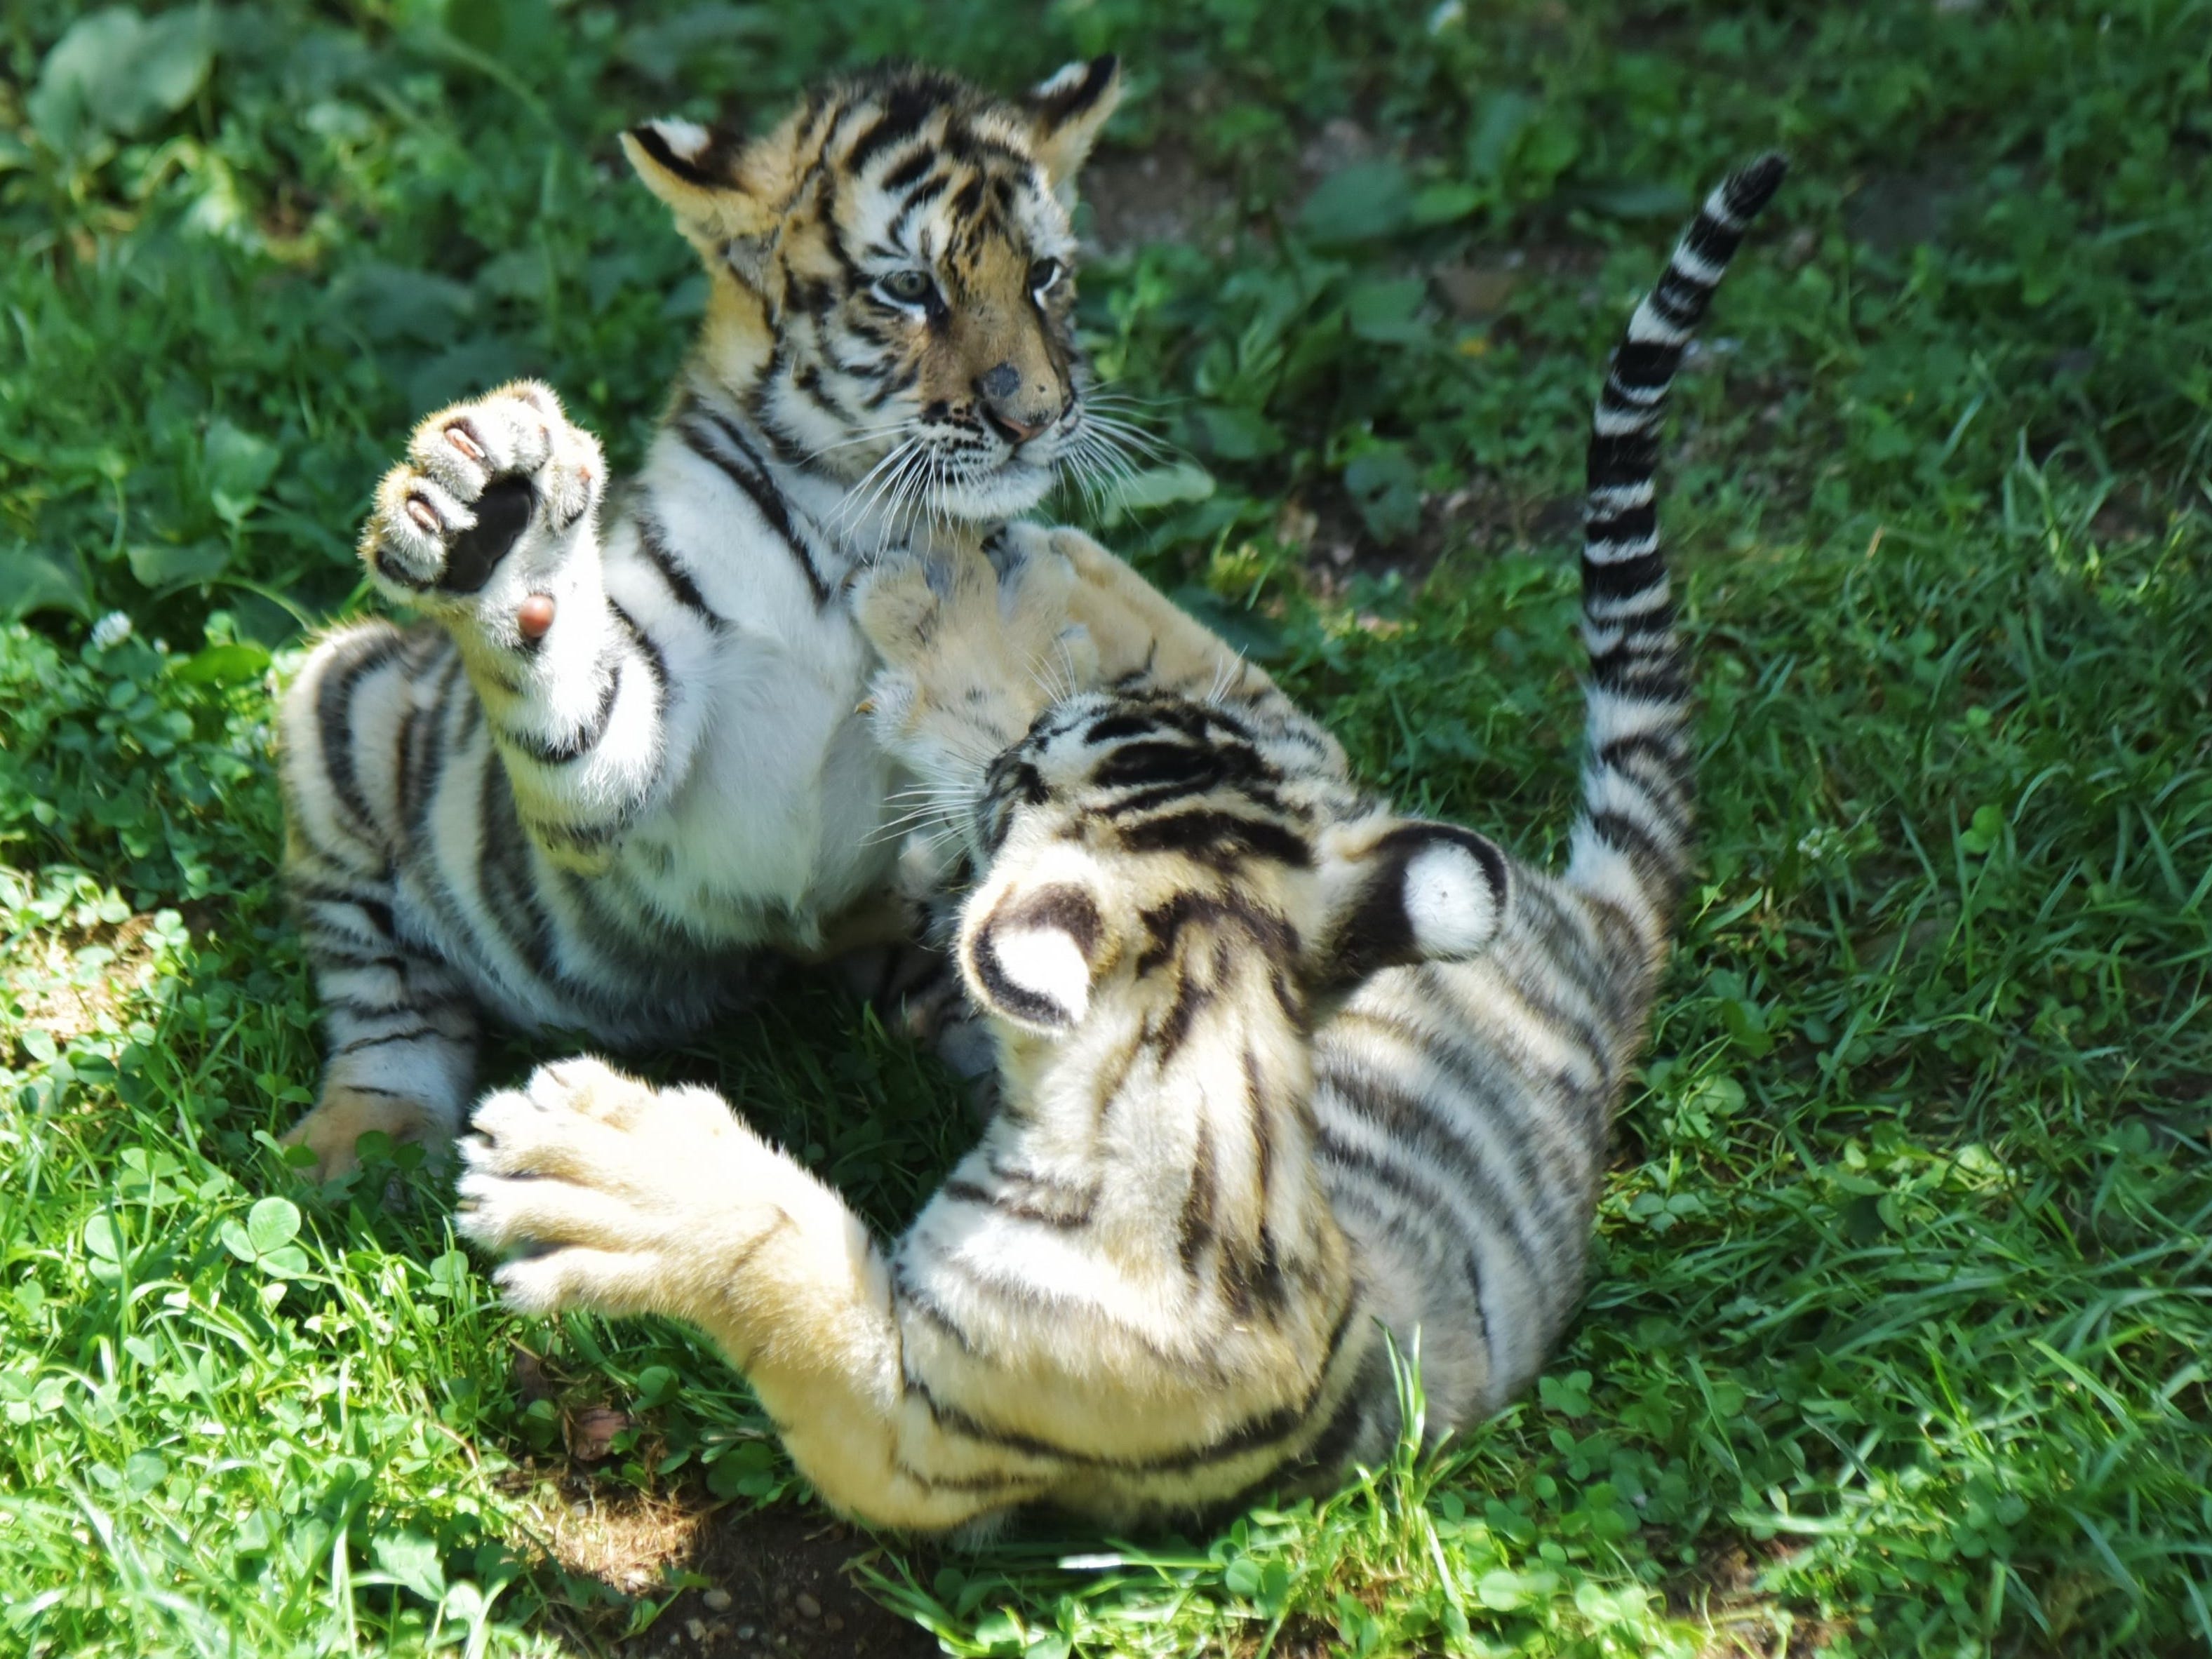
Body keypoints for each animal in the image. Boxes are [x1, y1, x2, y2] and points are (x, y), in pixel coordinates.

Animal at [275, 58, 1138, 1176]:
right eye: (910, 288)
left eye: (1043, 275)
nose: (1033, 415)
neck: (858, 524)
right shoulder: (637, 739)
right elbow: (579, 713)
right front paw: (501, 527)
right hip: (343, 708)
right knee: (386, 994)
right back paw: (363, 1142)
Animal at [450, 157, 1788, 1528]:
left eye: (1016, 796)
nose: (1007, 760)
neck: (1205, 1069)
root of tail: (1603, 944)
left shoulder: (916, 1423)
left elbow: (781, 1251)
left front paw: (586, 1162)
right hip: (1330, 801)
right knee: (1260, 690)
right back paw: (993, 560)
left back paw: (946, 576)